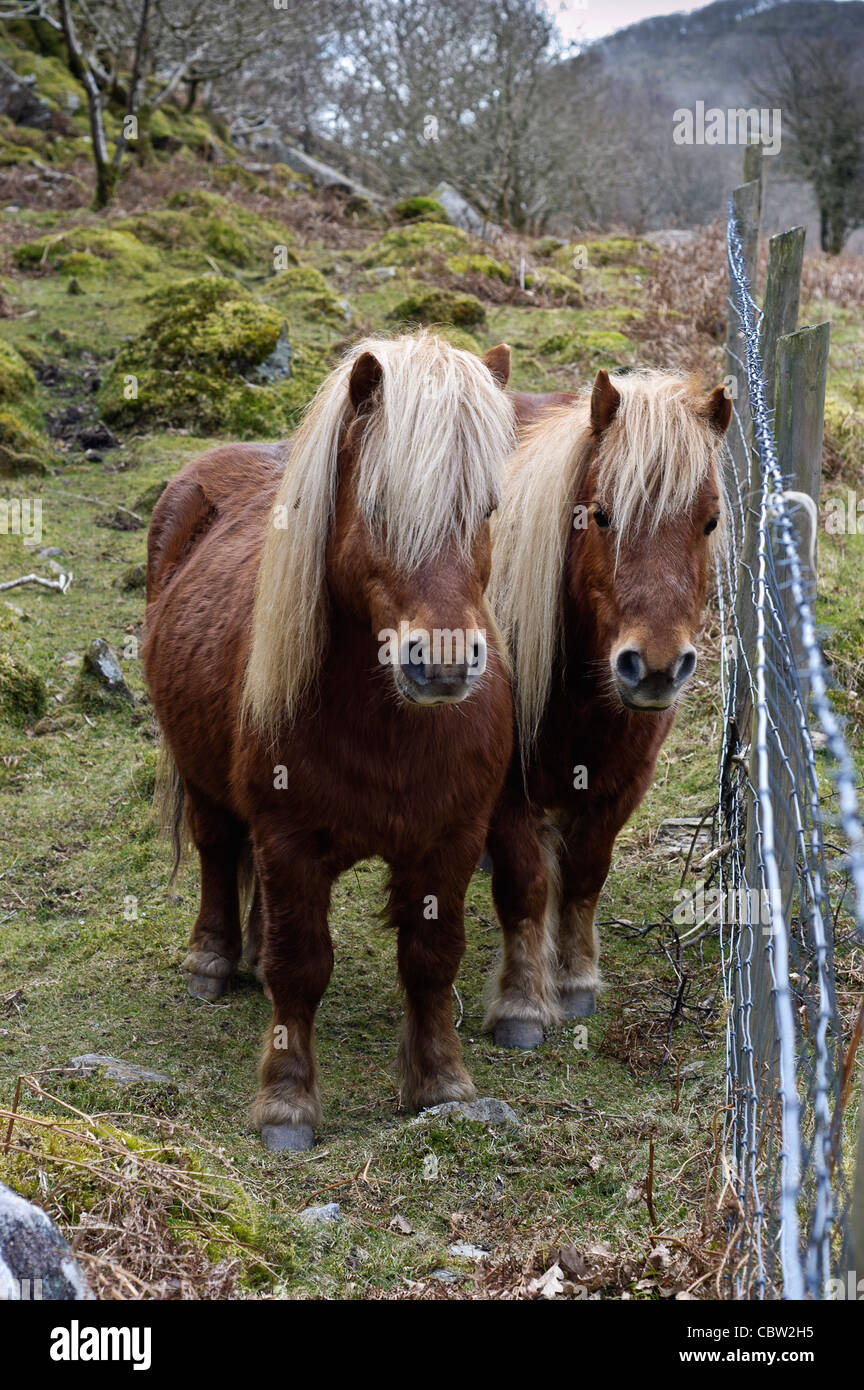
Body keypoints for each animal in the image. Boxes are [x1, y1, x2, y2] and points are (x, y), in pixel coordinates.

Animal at [143, 331, 515, 1149]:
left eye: (489, 507)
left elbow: (432, 958)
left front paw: (440, 1081)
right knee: (217, 851)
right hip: (207, 782)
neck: (387, 729)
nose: (444, 664)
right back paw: (214, 960)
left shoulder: (453, 838)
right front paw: (287, 1102)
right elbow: (302, 966)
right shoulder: (290, 840)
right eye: (376, 505)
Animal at [484, 368, 732, 1048]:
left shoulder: (623, 784)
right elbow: (524, 883)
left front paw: (574, 983)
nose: (655, 668)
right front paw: (522, 1005)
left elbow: (585, 875)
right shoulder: (508, 788)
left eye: (709, 522)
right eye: (600, 515)